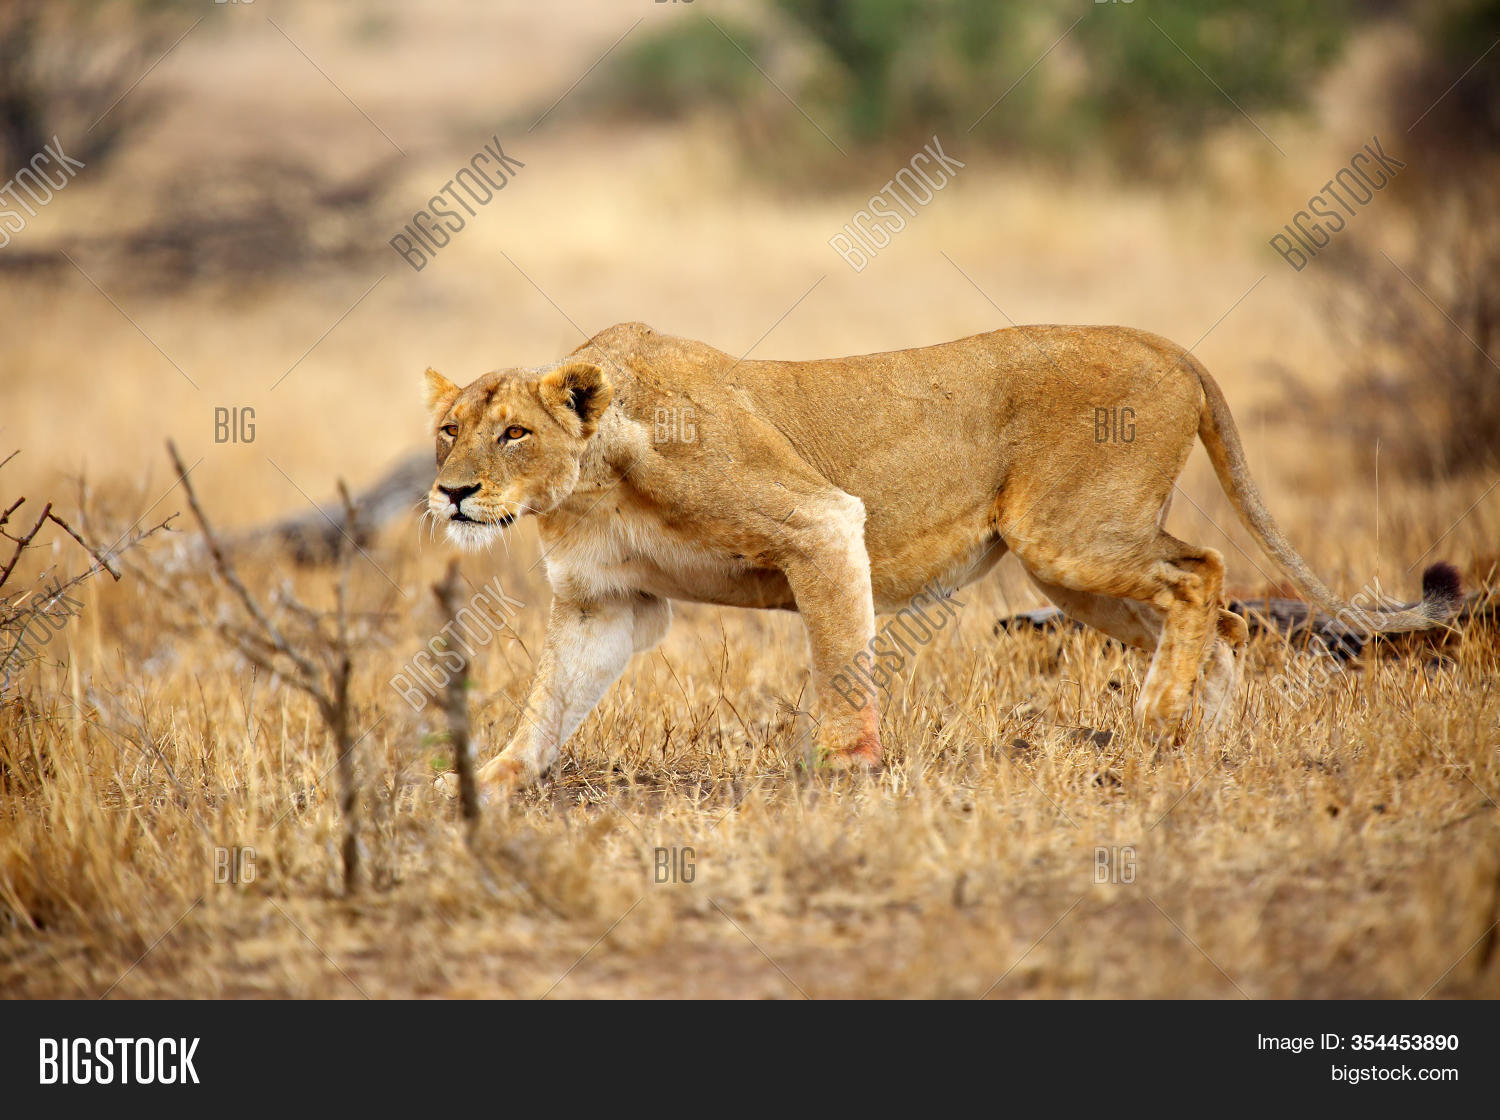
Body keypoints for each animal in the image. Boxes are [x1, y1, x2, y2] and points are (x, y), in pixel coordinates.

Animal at [423, 321, 1461, 790]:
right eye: (447, 432)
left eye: (514, 433)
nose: (453, 493)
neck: (588, 482)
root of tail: (1160, 342)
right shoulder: (606, 606)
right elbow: (549, 704)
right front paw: (487, 785)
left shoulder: (820, 523)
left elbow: (841, 665)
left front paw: (844, 775)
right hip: (1073, 570)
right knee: (1222, 615)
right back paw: (1193, 742)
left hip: (1071, 540)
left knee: (1202, 573)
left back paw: (1161, 719)